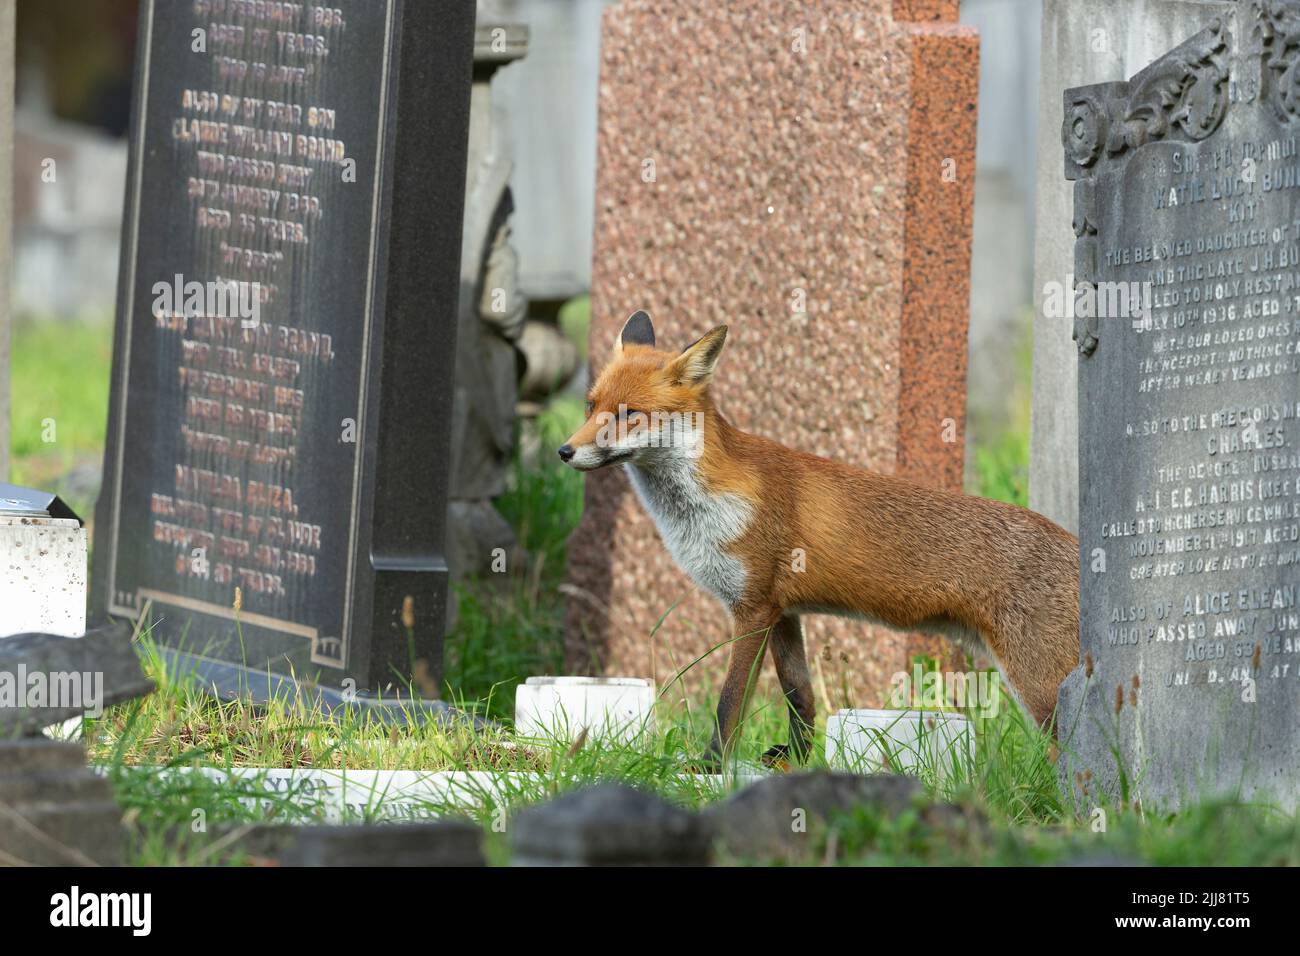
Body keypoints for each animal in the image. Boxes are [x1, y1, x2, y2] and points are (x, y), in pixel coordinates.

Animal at [559, 310, 1080, 767]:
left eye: (629, 414)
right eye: (590, 406)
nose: (564, 451)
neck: (706, 505)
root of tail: (1079, 545)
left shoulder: (752, 610)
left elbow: (730, 703)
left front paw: (709, 767)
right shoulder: (783, 612)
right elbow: (801, 700)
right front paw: (794, 762)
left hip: (1040, 686)